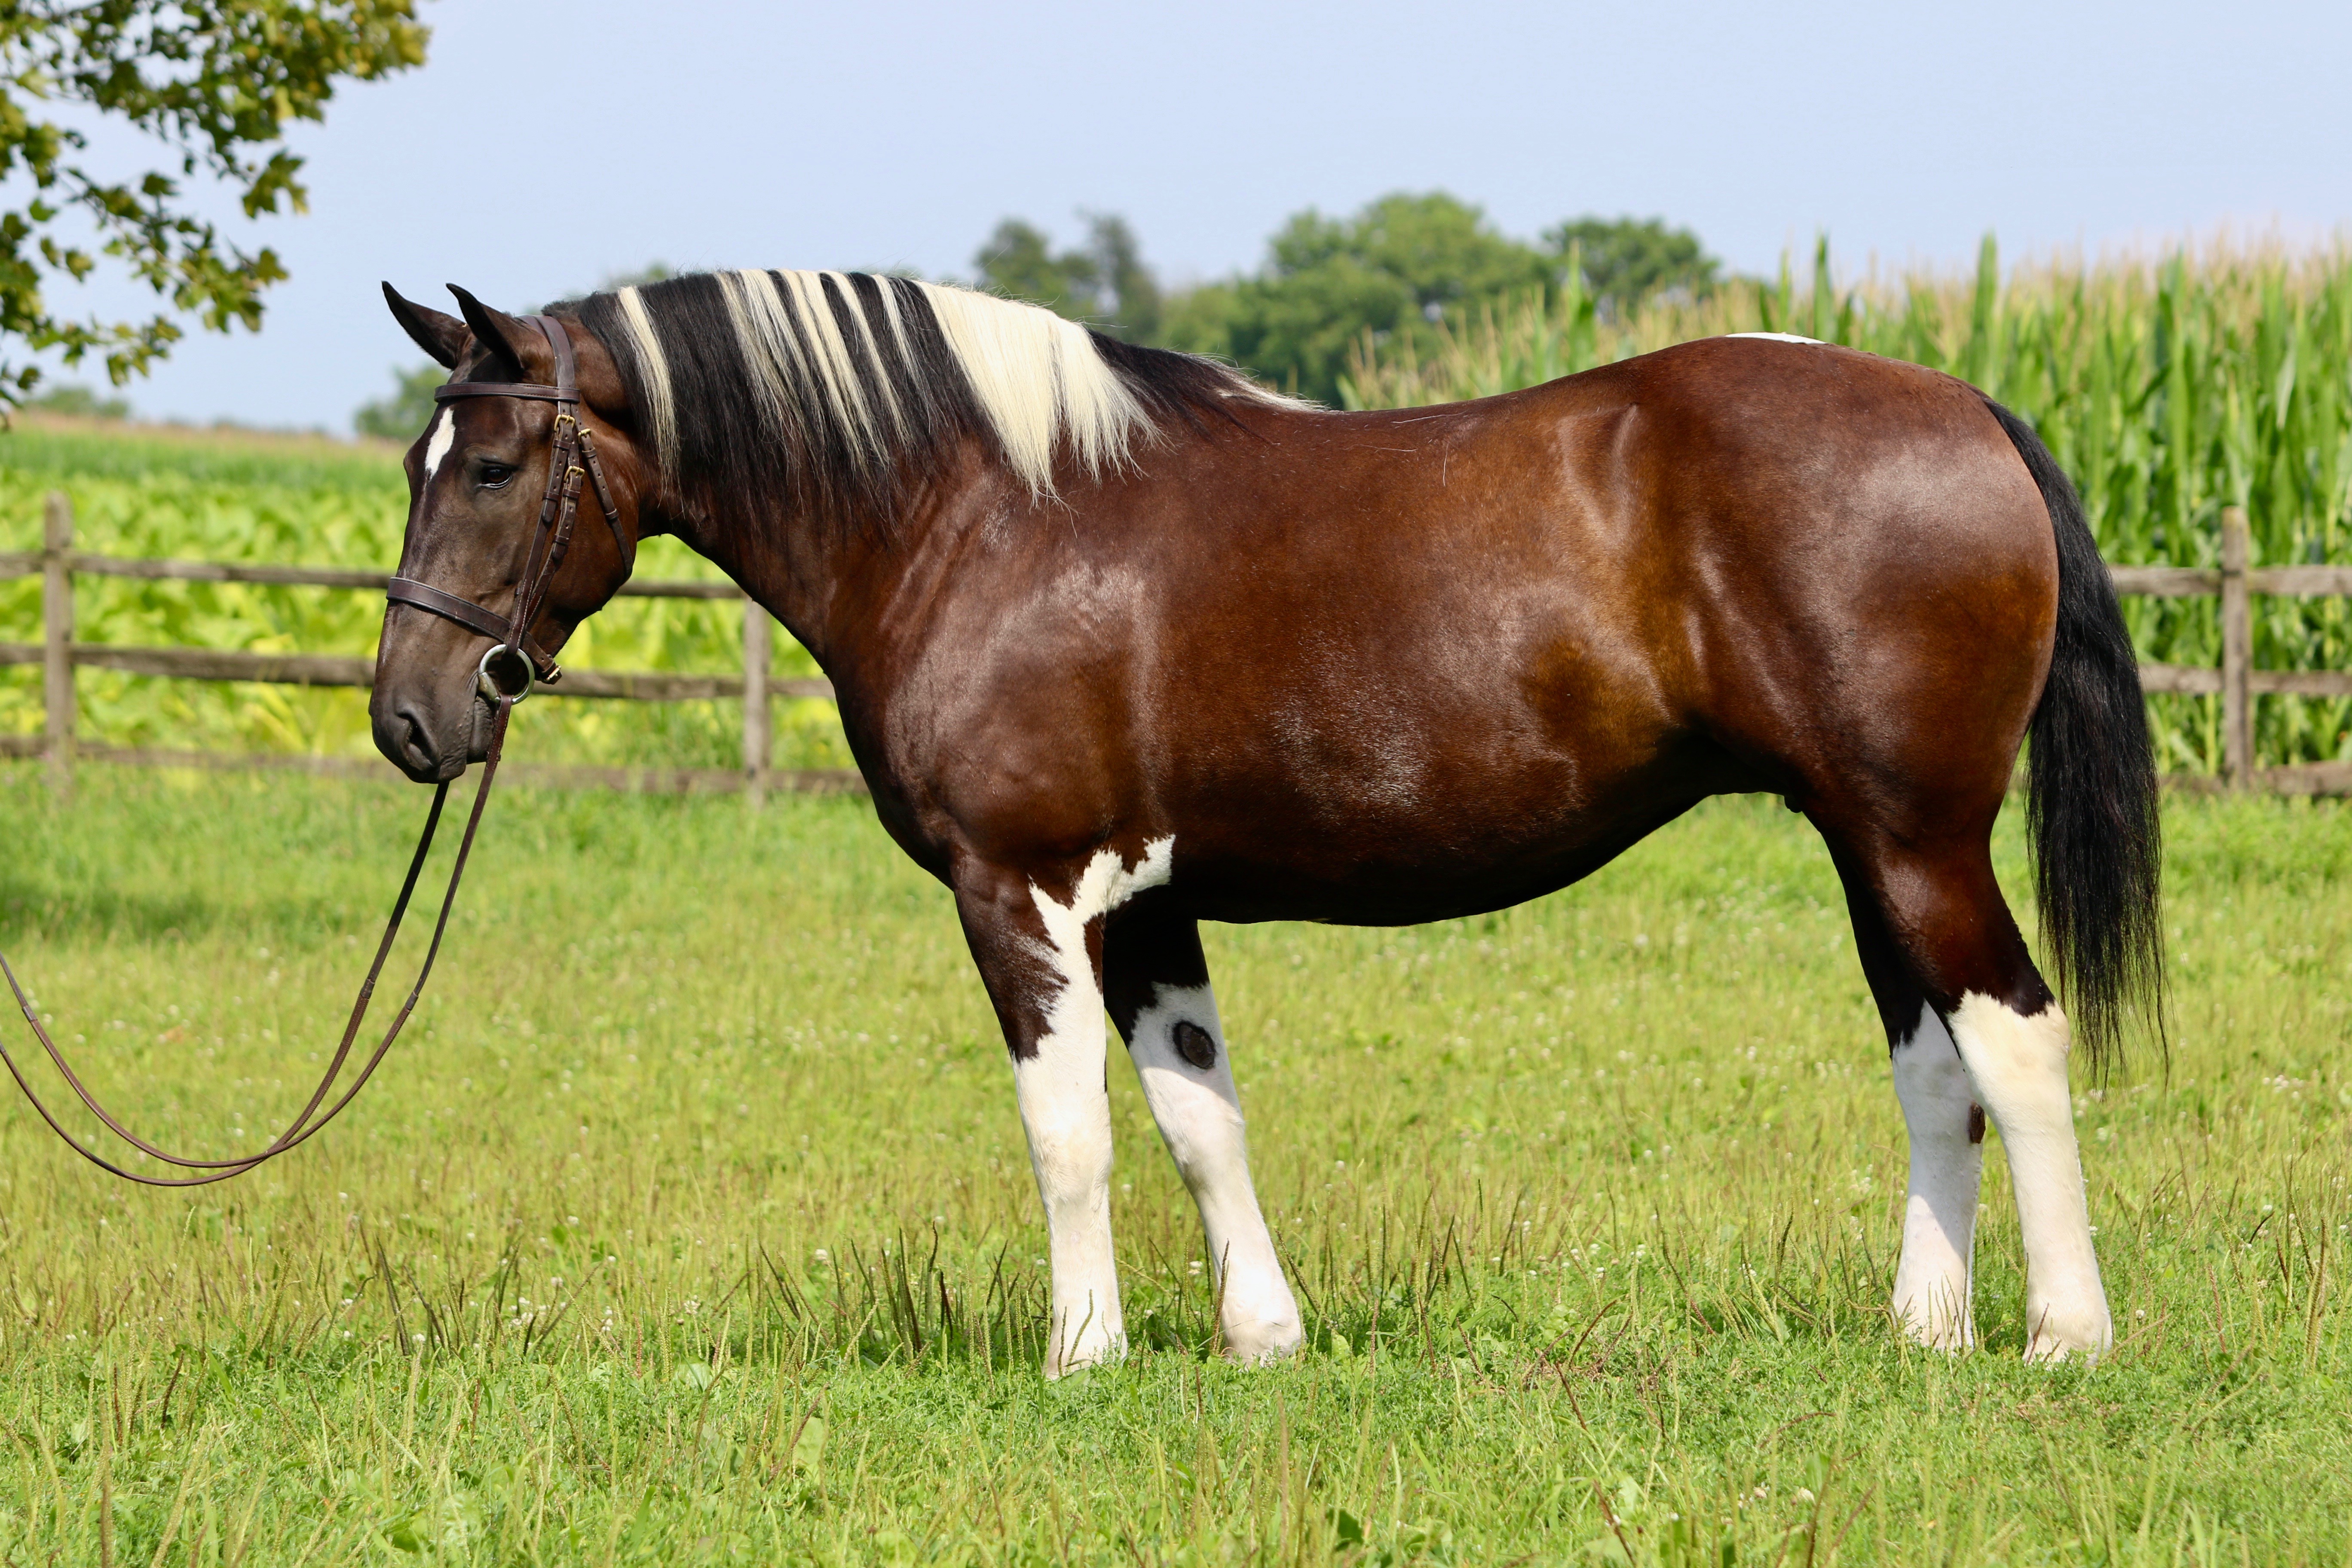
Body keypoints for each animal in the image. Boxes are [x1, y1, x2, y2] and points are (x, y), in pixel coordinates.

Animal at [370, 271, 2163, 1376]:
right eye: (412, 459)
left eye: (496, 465)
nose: (408, 716)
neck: (978, 516)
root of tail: (1964, 406)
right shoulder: (1143, 904)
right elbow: (1195, 1118)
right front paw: (1261, 1335)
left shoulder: (1017, 890)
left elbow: (1070, 1127)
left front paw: (1080, 1349)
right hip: (1861, 839)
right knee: (1932, 1062)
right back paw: (1924, 1325)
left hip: (1918, 835)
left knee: (2015, 1037)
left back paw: (2068, 1332)